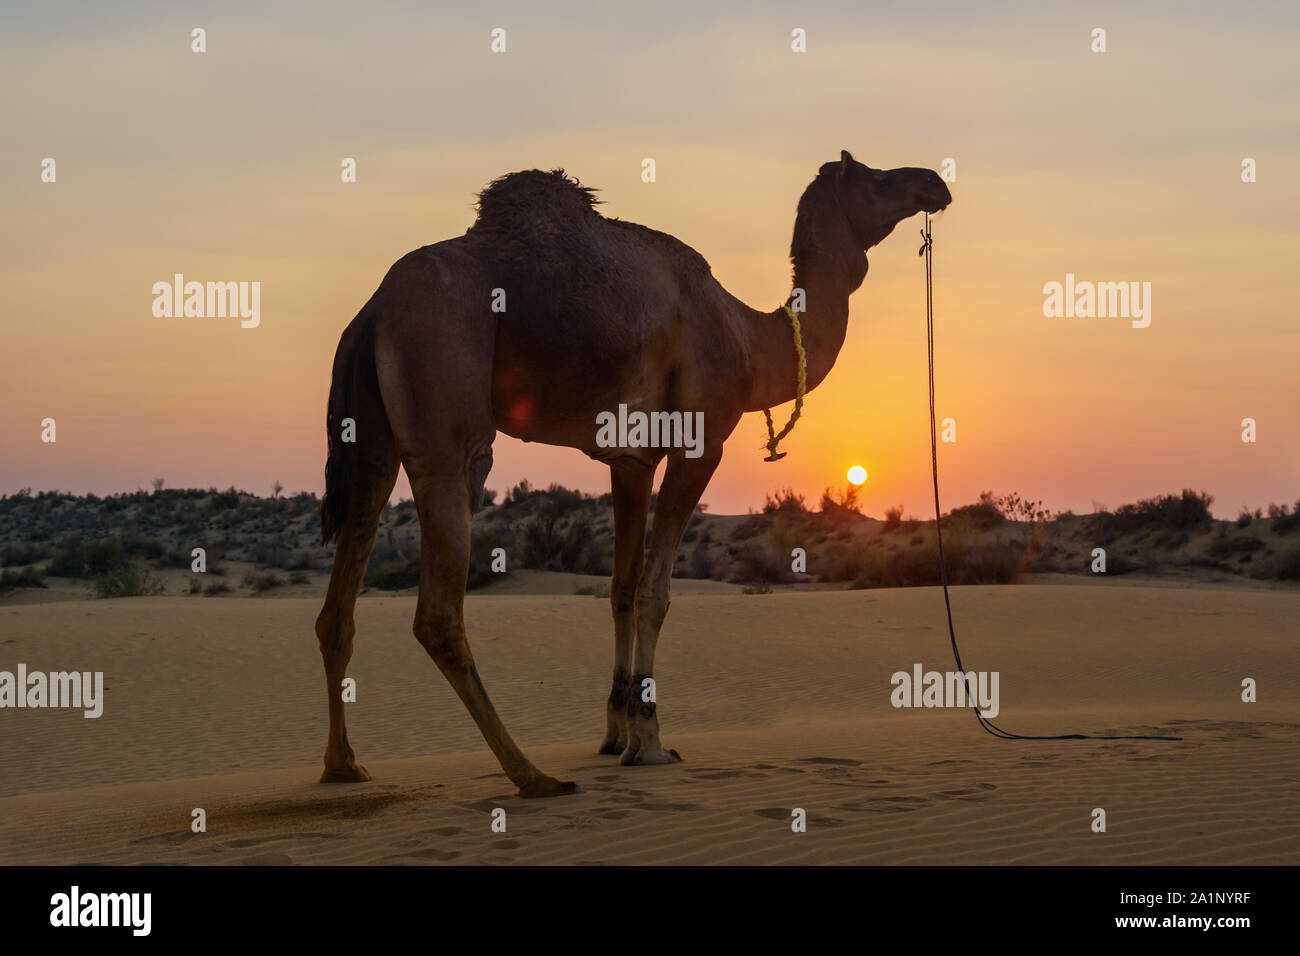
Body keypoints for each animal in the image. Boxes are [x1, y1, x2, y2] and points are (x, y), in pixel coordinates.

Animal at [314, 150, 952, 796]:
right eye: (874, 176)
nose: (934, 183)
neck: (749, 338)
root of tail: (372, 310)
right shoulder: (701, 442)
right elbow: (655, 592)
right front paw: (649, 741)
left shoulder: (630, 460)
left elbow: (620, 589)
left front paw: (614, 733)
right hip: (445, 407)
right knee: (439, 610)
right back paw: (532, 775)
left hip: (373, 438)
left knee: (339, 601)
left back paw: (344, 765)